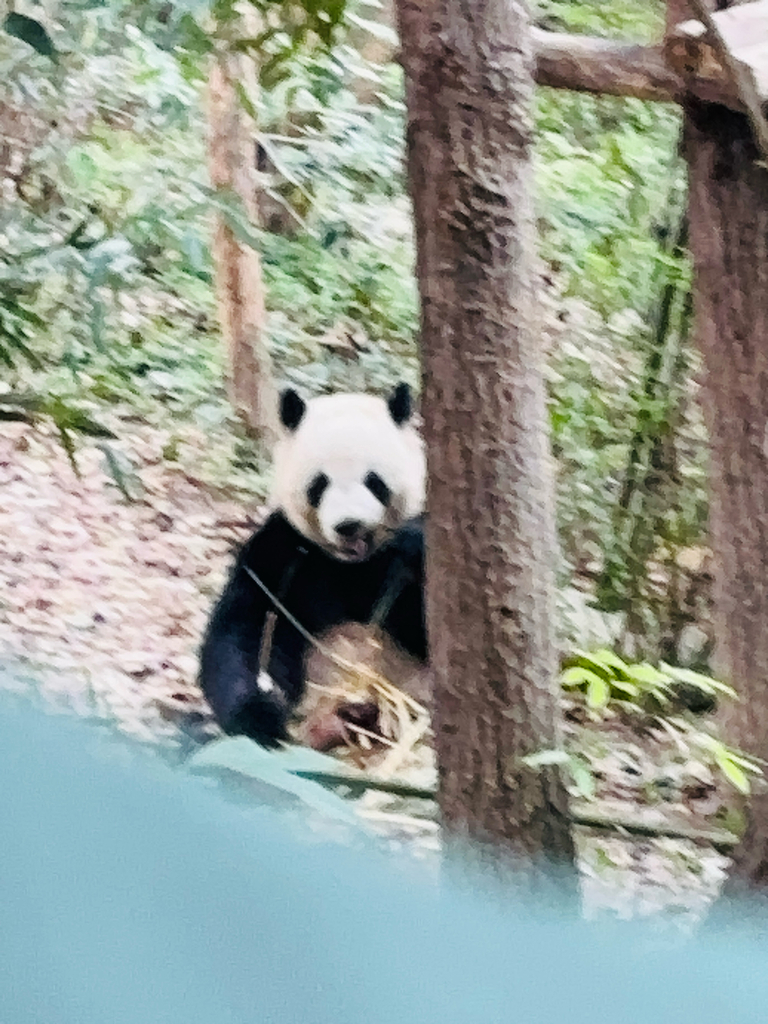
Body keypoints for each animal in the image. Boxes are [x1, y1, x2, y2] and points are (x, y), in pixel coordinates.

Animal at [199, 382, 427, 748]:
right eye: (320, 484)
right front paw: (260, 716)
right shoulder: (286, 554)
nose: (349, 525)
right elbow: (247, 630)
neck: (352, 564)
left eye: (374, 481)